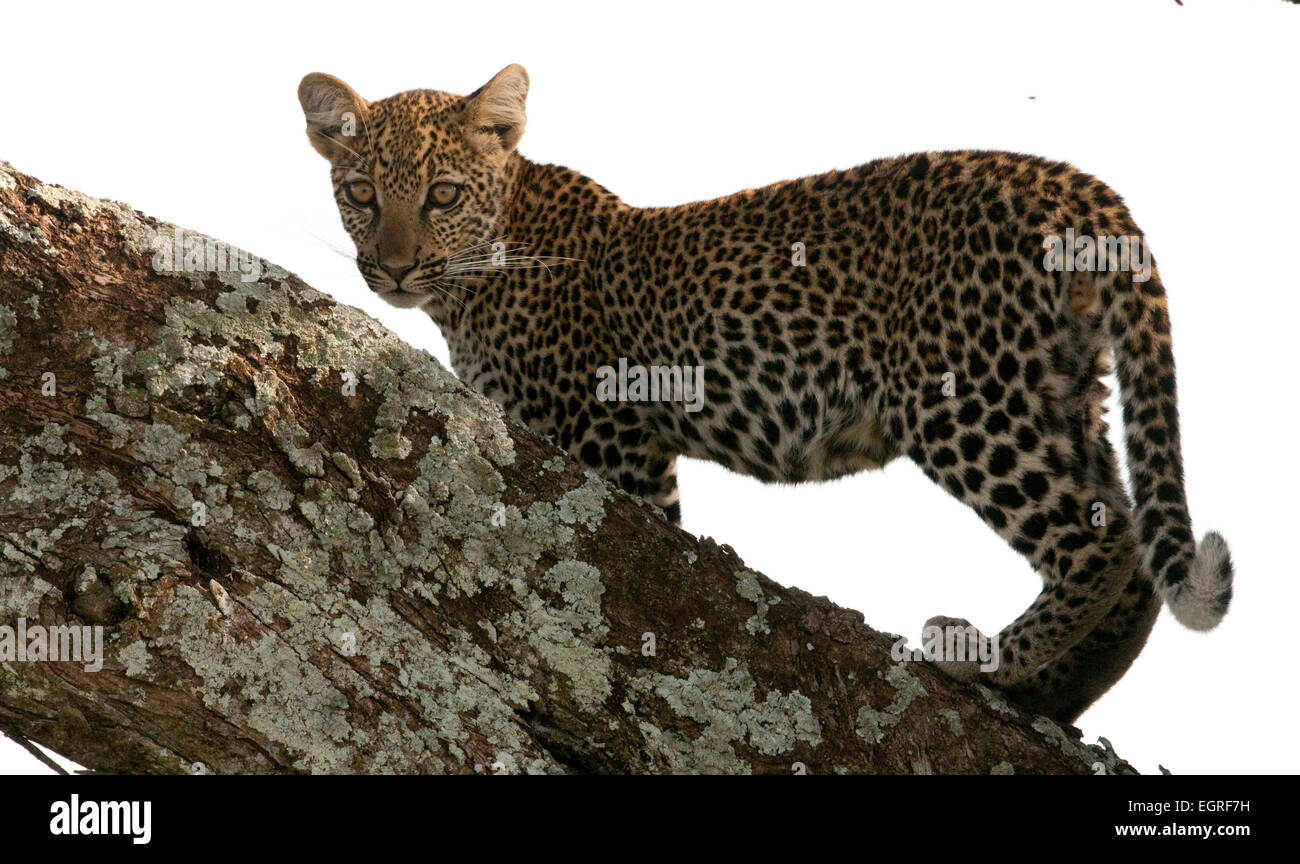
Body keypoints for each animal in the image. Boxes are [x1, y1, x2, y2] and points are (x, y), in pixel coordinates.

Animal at [297, 64, 1234, 722]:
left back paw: (986, 660)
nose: (392, 266)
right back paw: (1051, 694)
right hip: (1060, 386)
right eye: (360, 194)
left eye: (443, 195)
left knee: (1097, 540)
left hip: (967, 394)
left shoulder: (605, 434)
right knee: (1131, 533)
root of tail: (1074, 184)